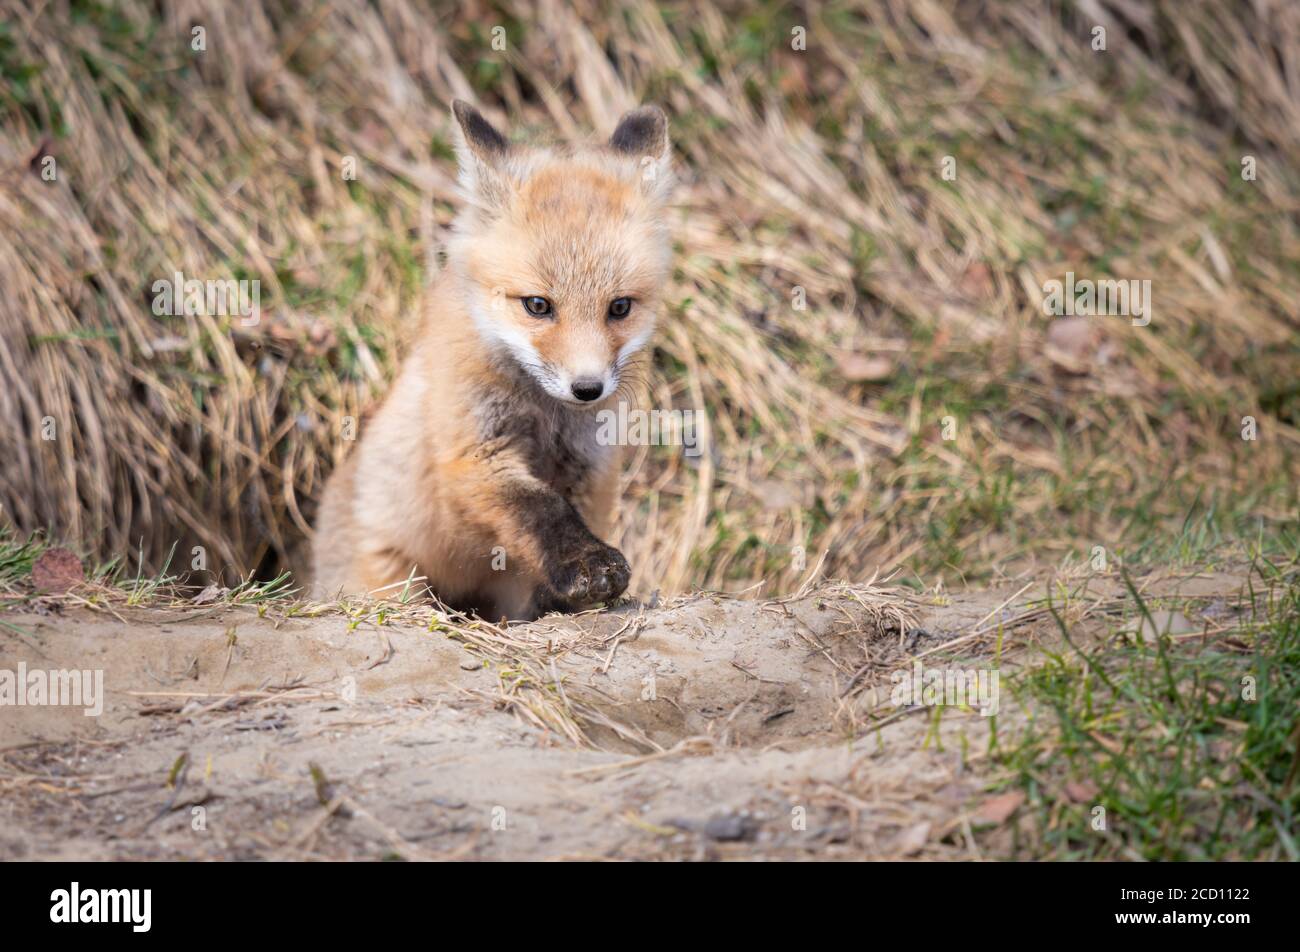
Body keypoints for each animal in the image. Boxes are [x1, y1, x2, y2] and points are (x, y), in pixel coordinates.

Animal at [311, 100, 674, 620]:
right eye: (538, 305)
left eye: (620, 307)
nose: (587, 389)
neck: (546, 416)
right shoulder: (473, 454)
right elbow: (541, 508)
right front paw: (588, 563)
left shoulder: (591, 467)